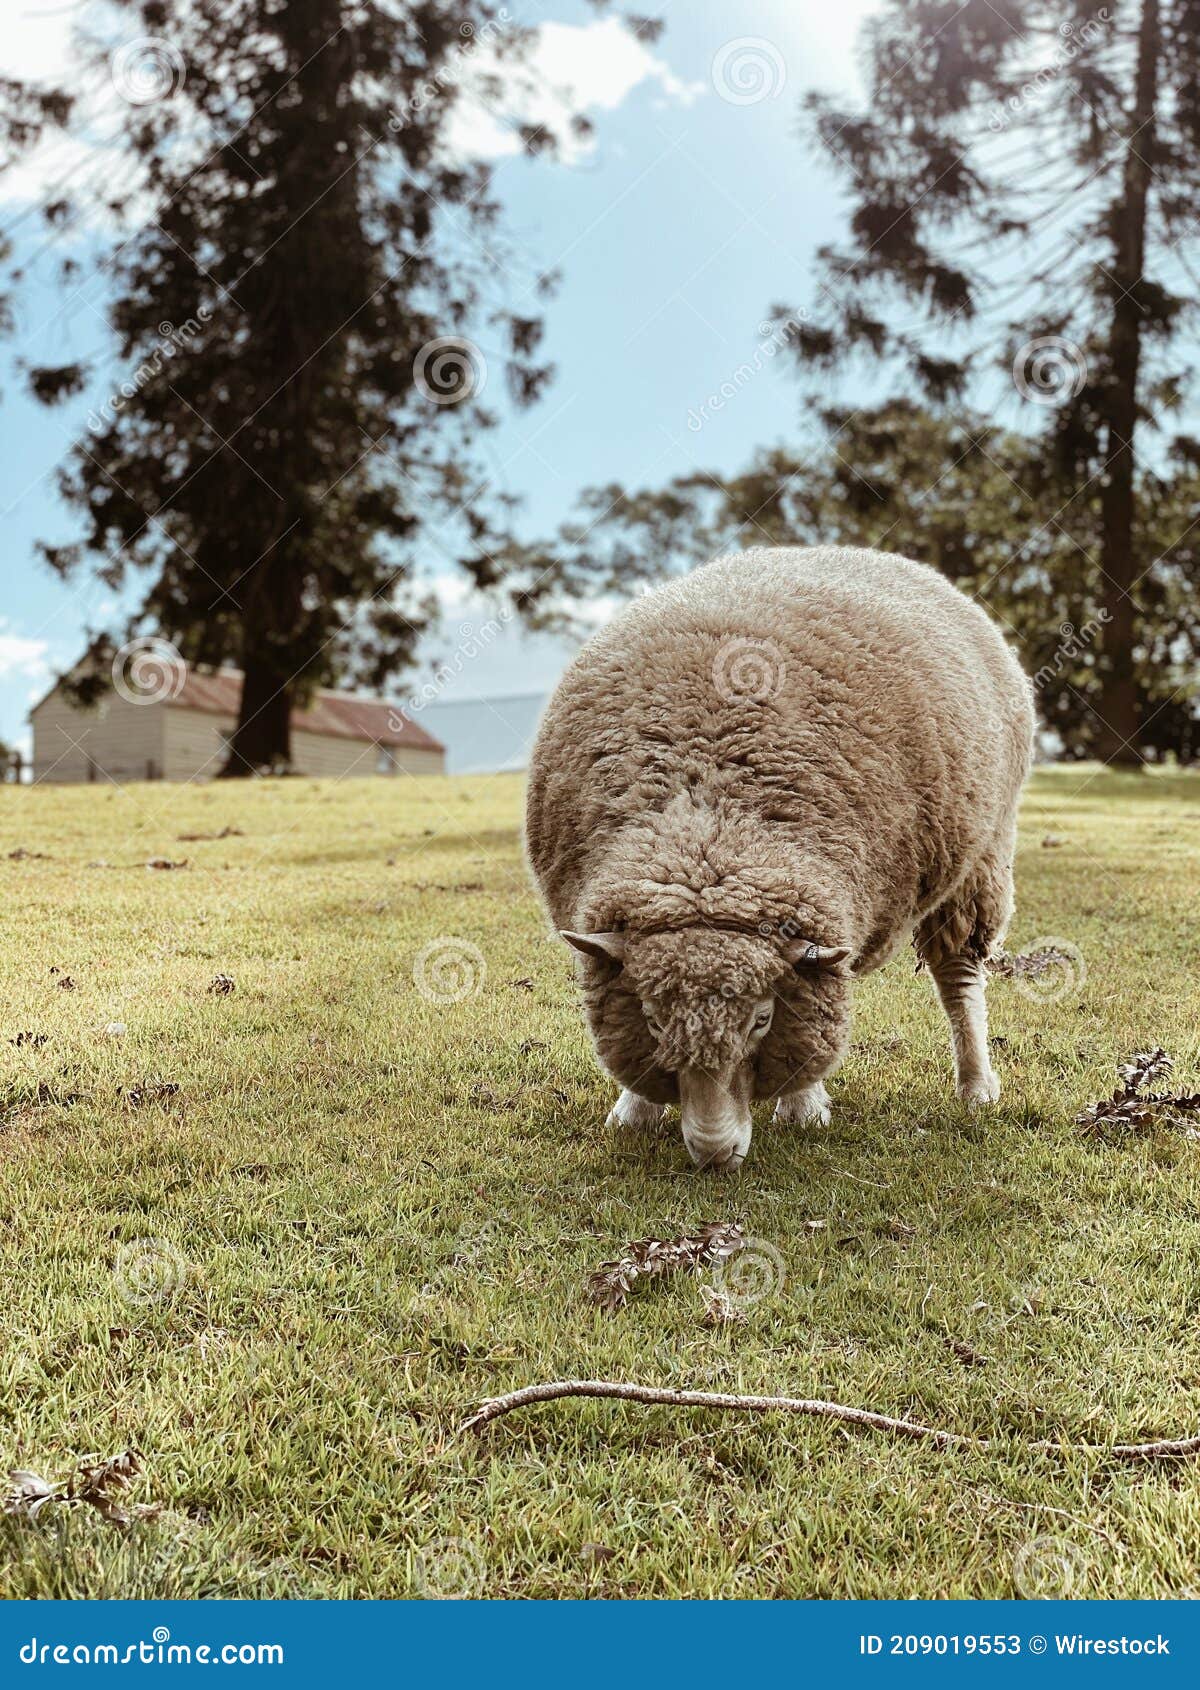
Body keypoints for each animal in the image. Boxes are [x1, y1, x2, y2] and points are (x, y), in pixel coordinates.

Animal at [525, 545, 1035, 1171]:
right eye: (651, 1019)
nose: (714, 1154)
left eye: (764, 1019)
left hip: (983, 854)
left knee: (959, 974)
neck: (708, 828)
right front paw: (634, 1110)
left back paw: (976, 1084)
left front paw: (804, 1107)